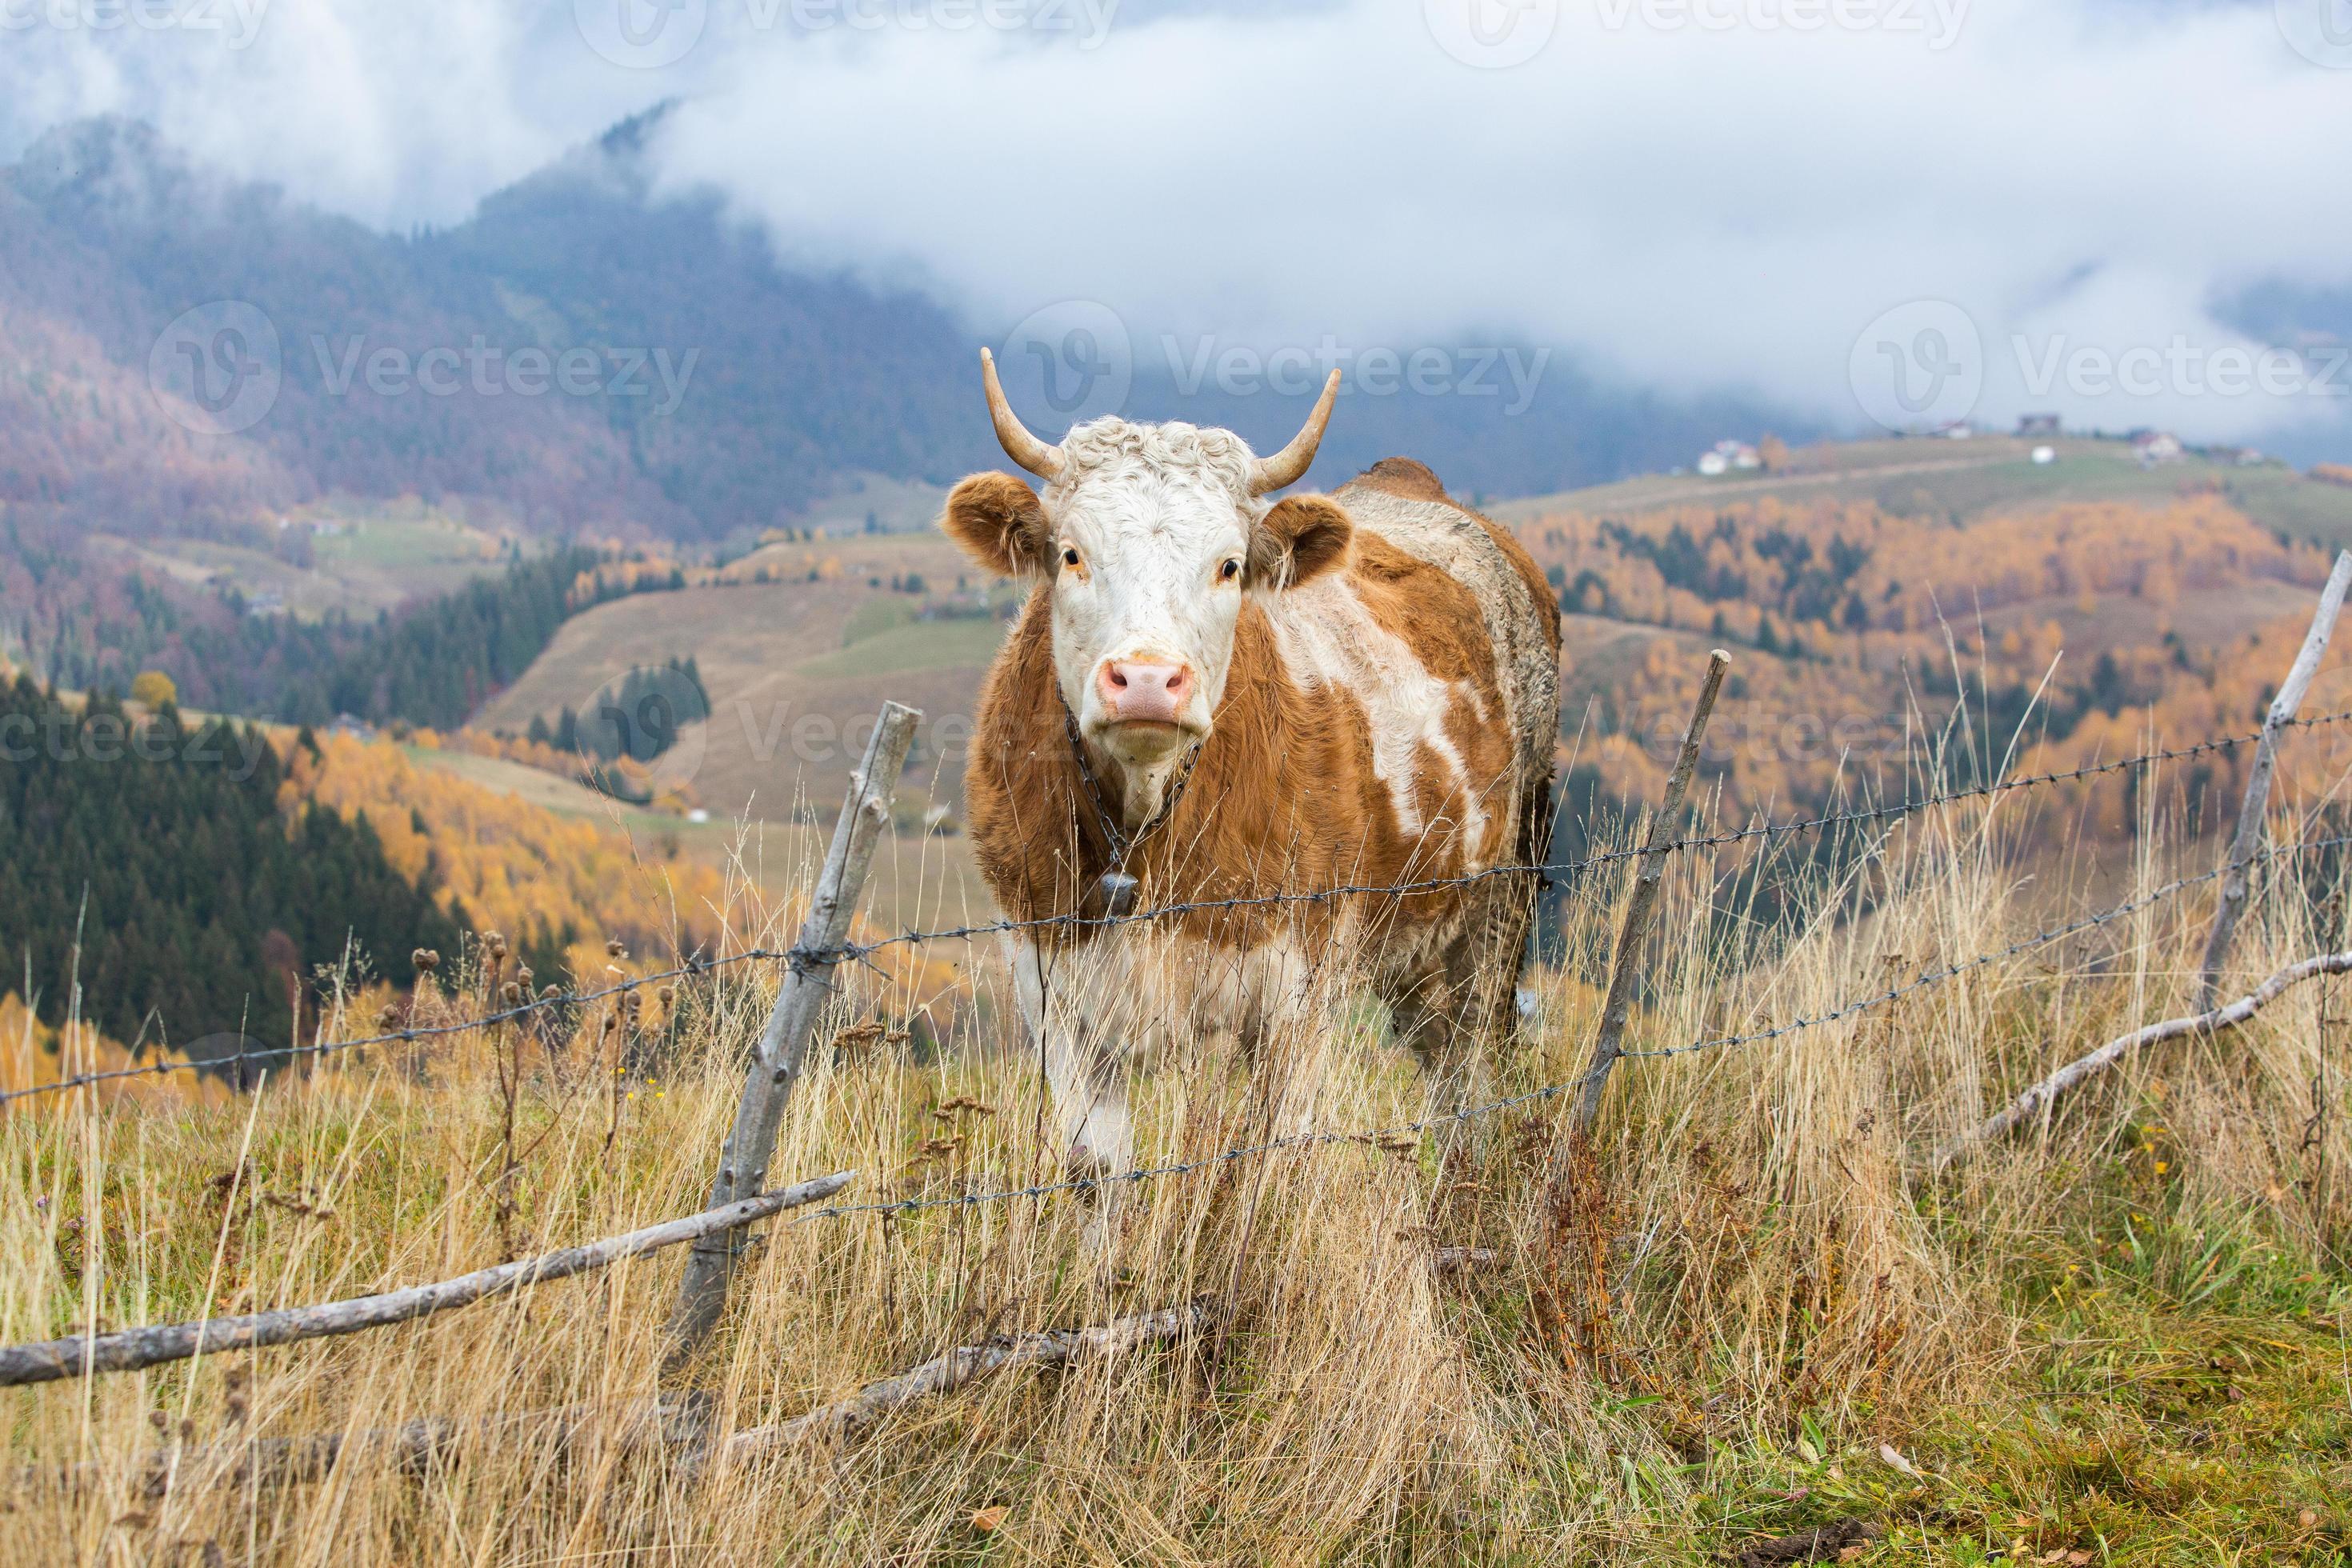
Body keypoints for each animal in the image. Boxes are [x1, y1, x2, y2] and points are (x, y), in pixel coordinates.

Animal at [942, 350, 1560, 1196]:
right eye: (1072, 555)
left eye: (1229, 566)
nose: (1147, 681)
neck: (1146, 826)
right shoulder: (1056, 999)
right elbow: (1096, 1170)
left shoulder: (1297, 1000)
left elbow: (1273, 1161)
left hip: (1499, 905)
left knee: (1468, 1075)